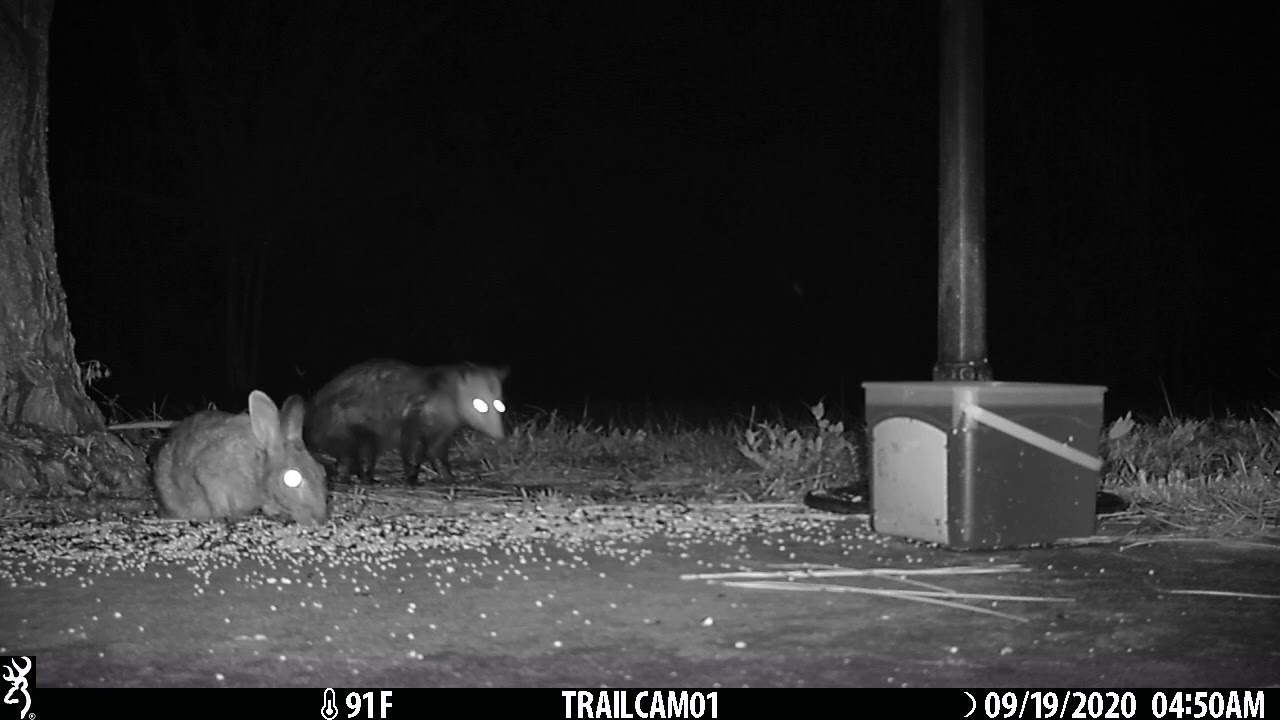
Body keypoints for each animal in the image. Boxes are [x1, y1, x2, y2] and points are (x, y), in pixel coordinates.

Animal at [153, 390, 328, 524]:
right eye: (292, 479)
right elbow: (216, 495)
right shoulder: (209, 474)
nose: (320, 519)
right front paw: (224, 516)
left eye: (321, 472)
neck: (257, 467)